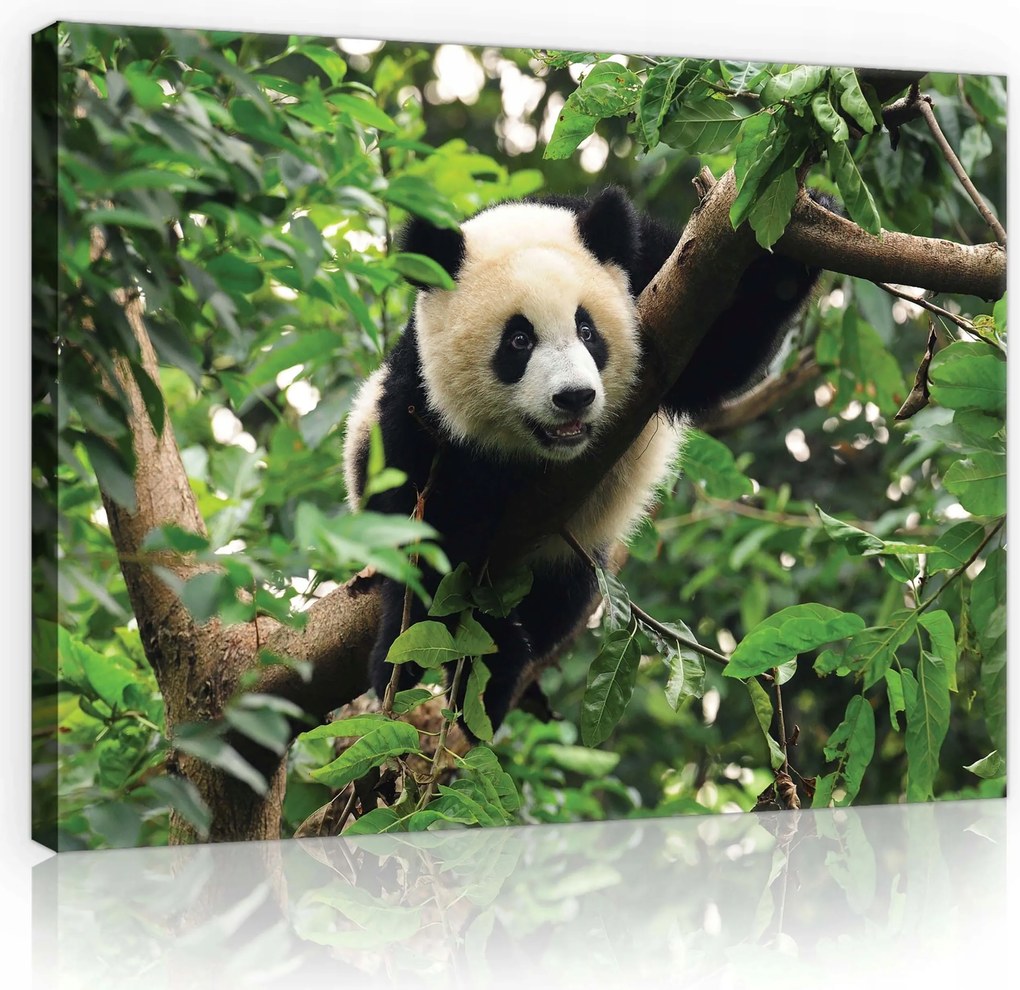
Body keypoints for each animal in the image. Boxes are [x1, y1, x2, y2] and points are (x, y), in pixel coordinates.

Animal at [343, 186, 823, 732]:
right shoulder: (419, 405)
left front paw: (802, 233)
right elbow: (428, 537)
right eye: (518, 340)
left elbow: (716, 353)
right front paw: (441, 660)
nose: (574, 397)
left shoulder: (657, 275)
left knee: (558, 603)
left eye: (587, 330)